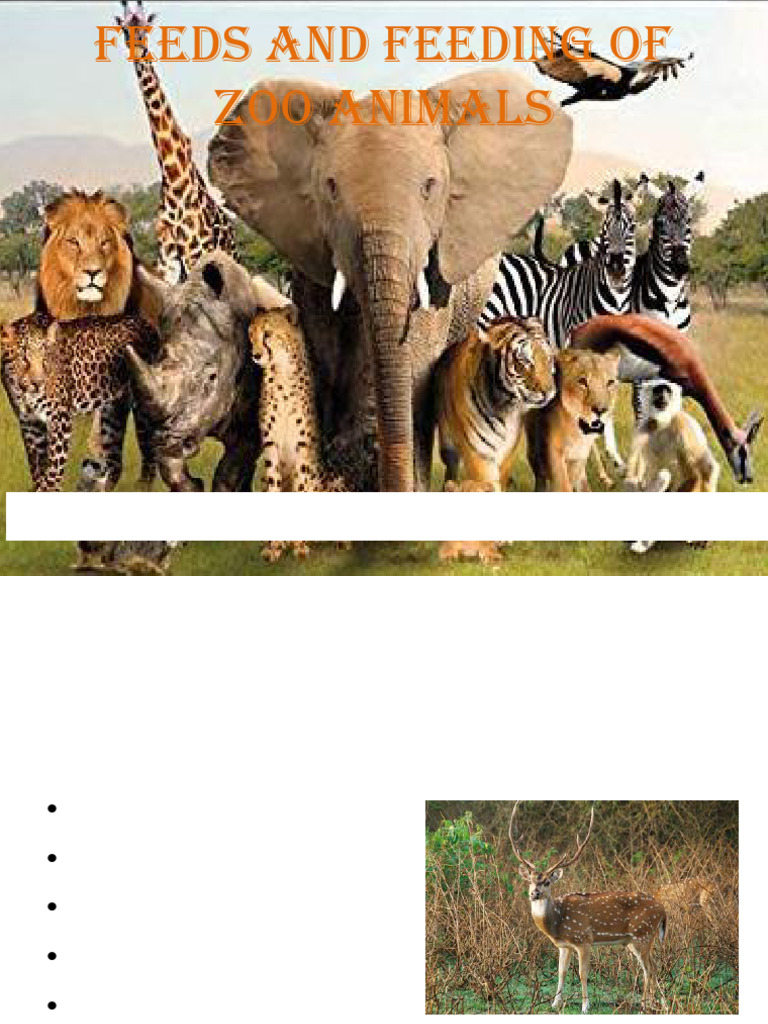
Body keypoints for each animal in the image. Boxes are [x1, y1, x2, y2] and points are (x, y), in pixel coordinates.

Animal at [509, 802, 667, 1014]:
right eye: (531, 881)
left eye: (548, 882)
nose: (534, 893)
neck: (557, 923)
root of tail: (663, 910)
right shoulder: (564, 946)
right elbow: (561, 972)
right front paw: (554, 1003)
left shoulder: (584, 939)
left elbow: (582, 973)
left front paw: (585, 1005)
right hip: (635, 940)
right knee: (654, 967)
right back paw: (662, 1003)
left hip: (643, 934)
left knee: (649, 969)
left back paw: (644, 1005)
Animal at [525, 348, 621, 491]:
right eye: (582, 381)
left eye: (610, 382)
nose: (601, 410)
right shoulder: (553, 452)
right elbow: (562, 485)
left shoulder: (579, 455)